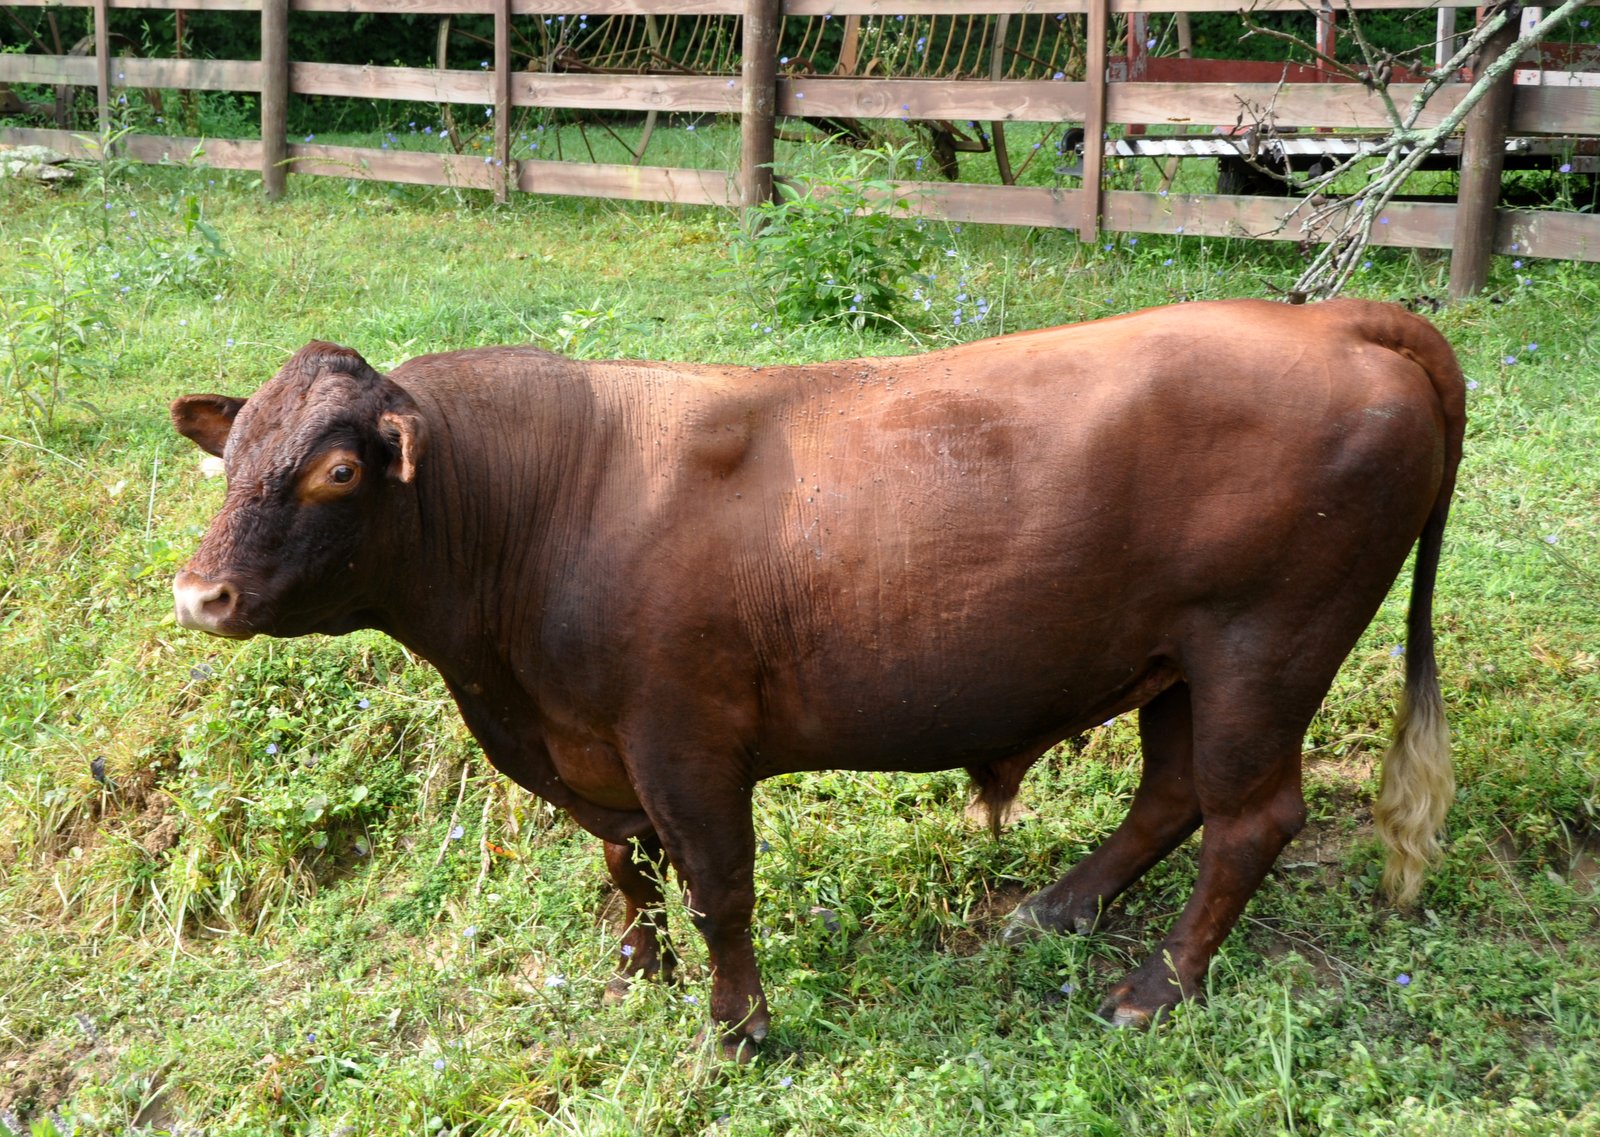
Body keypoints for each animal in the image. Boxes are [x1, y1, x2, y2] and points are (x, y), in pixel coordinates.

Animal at [170, 298, 1464, 1058]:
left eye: (338, 471)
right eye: (231, 456)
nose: (199, 596)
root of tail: (1339, 317)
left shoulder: (683, 737)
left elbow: (714, 885)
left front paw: (737, 1027)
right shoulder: (593, 743)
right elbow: (623, 862)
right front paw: (635, 970)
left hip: (1263, 648)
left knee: (1250, 816)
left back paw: (1155, 987)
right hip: (1174, 662)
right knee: (1174, 794)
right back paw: (1053, 910)